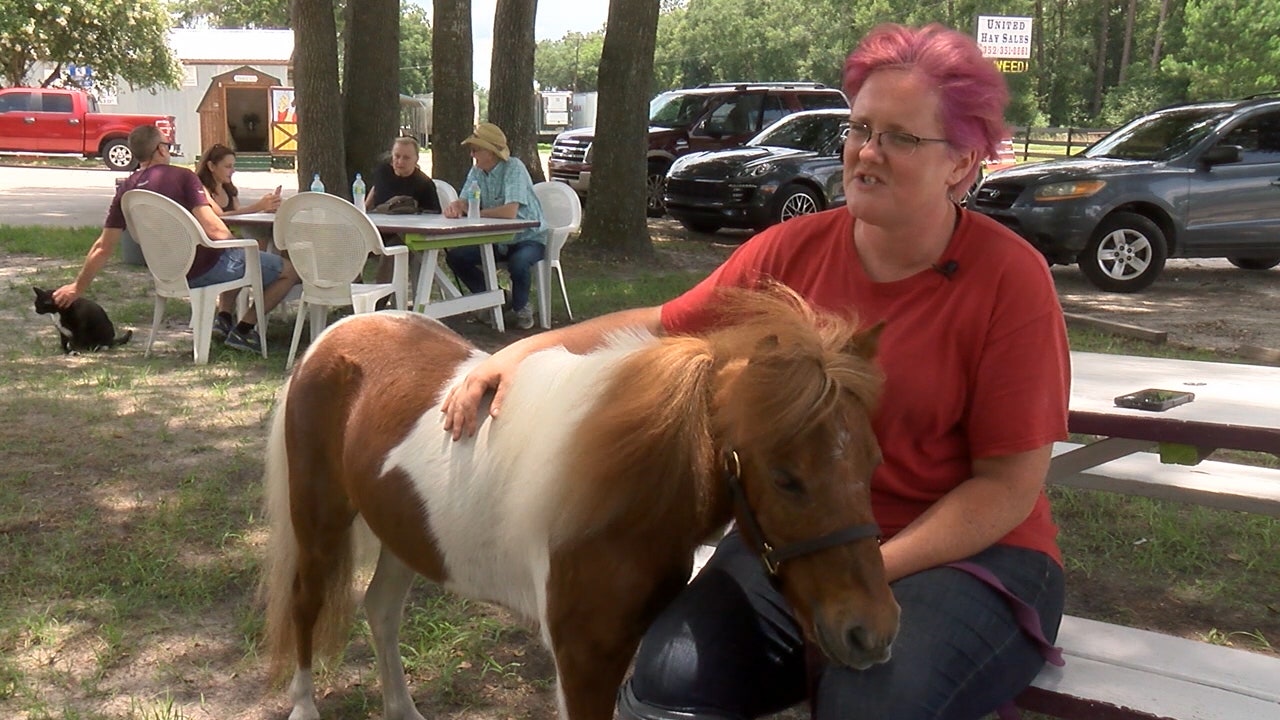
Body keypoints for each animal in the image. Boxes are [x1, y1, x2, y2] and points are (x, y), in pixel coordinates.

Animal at [260, 285, 900, 720]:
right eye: (786, 477)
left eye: (871, 462)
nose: (872, 633)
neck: (622, 486)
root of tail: (335, 336)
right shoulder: (583, 656)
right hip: (320, 520)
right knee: (306, 601)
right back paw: (304, 705)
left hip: (406, 531)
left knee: (382, 611)